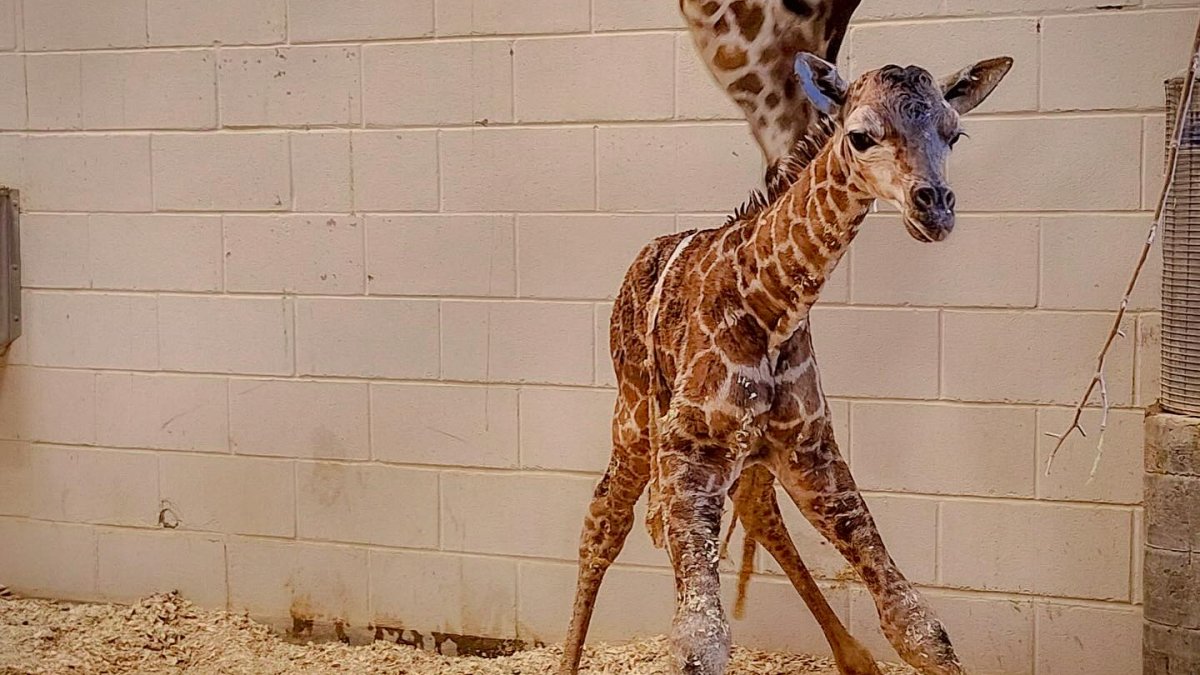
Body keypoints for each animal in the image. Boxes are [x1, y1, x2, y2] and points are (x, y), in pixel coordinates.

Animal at [560, 54, 1013, 675]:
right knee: (603, 521)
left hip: (744, 456)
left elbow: (916, 623)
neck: (771, 306)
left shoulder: (810, 450)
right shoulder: (688, 451)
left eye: (953, 133)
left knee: (758, 511)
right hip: (632, 423)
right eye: (861, 135)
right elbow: (699, 643)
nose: (936, 208)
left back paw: (854, 656)